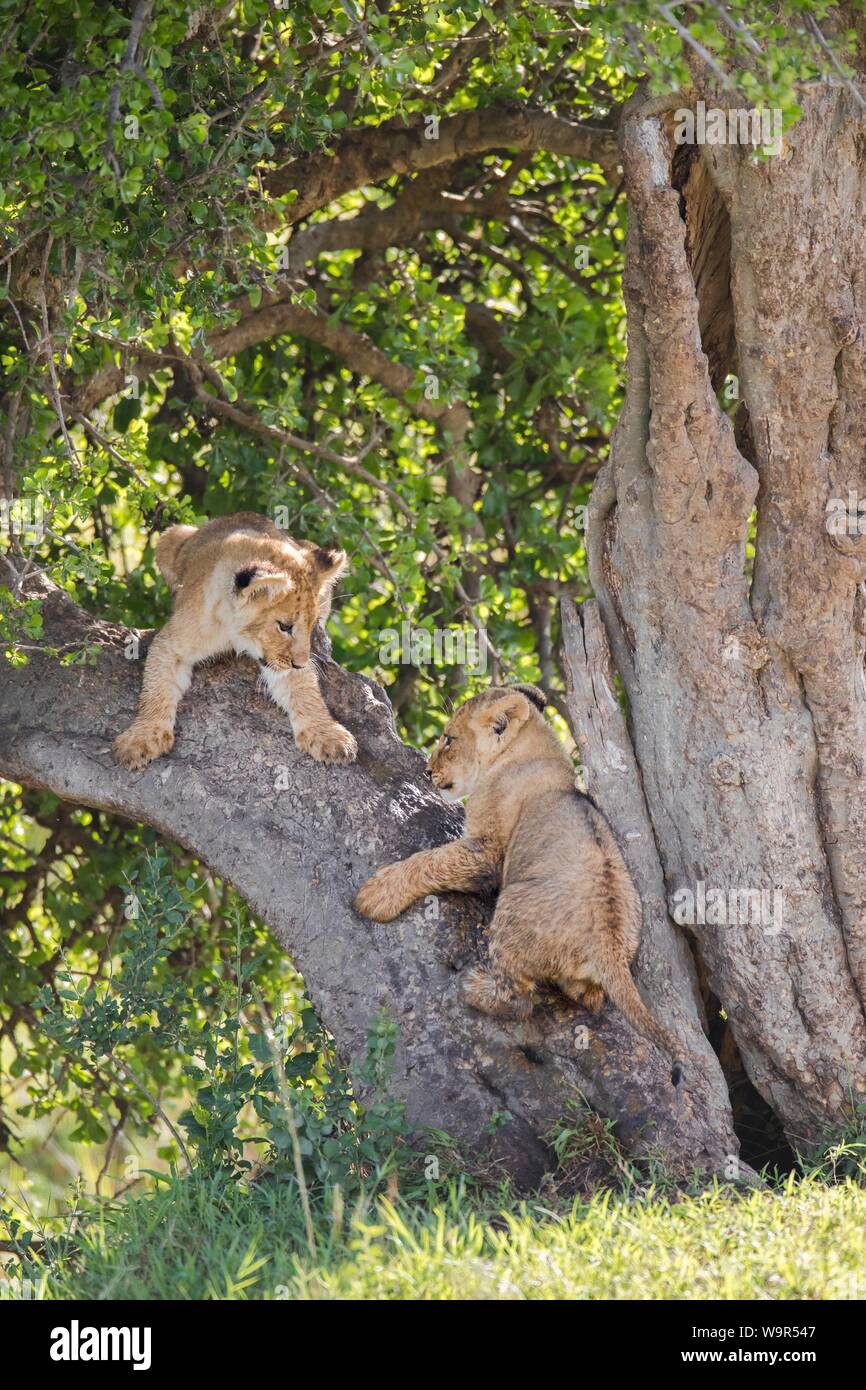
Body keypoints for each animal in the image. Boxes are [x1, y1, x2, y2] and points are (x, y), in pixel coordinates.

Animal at [112, 512, 357, 771]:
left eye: (308, 626)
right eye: (284, 626)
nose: (299, 663)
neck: (234, 633)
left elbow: (306, 691)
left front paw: (327, 734)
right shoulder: (169, 643)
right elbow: (155, 687)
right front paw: (141, 737)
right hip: (170, 537)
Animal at [354, 683, 682, 1084]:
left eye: (449, 739)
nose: (427, 770)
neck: (531, 751)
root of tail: (610, 948)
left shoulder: (487, 851)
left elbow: (431, 861)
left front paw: (377, 894)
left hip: (512, 901)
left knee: (519, 1000)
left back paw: (475, 989)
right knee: (587, 996)